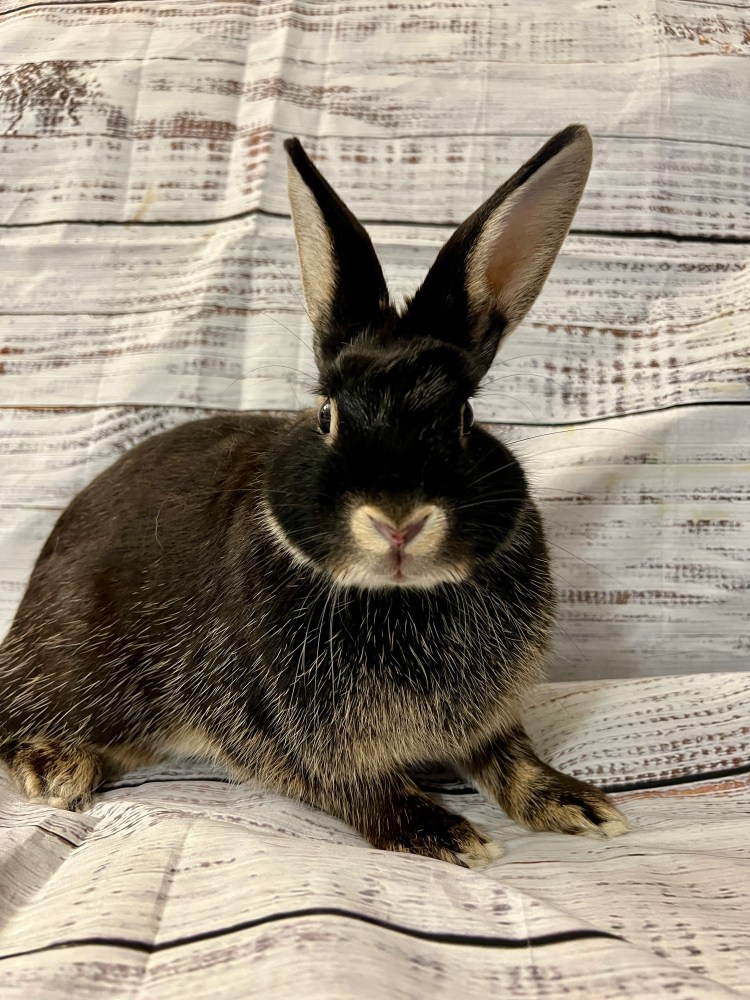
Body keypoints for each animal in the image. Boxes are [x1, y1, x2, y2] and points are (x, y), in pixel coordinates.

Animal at [0, 125, 630, 865]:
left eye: (464, 418)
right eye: (327, 415)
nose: (397, 523)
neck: (399, 600)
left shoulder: (490, 717)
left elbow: (511, 756)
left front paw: (577, 804)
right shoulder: (279, 730)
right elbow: (356, 788)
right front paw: (443, 834)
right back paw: (56, 767)